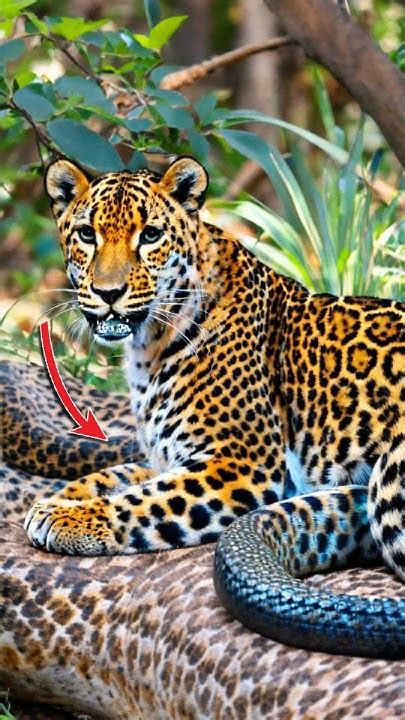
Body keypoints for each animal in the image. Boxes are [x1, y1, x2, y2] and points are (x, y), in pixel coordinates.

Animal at [23, 155, 404, 658]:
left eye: (150, 235)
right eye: (87, 234)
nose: (108, 292)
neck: (149, 347)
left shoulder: (240, 462)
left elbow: (144, 500)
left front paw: (70, 518)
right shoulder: (173, 455)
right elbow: (115, 476)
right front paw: (57, 501)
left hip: (390, 473)